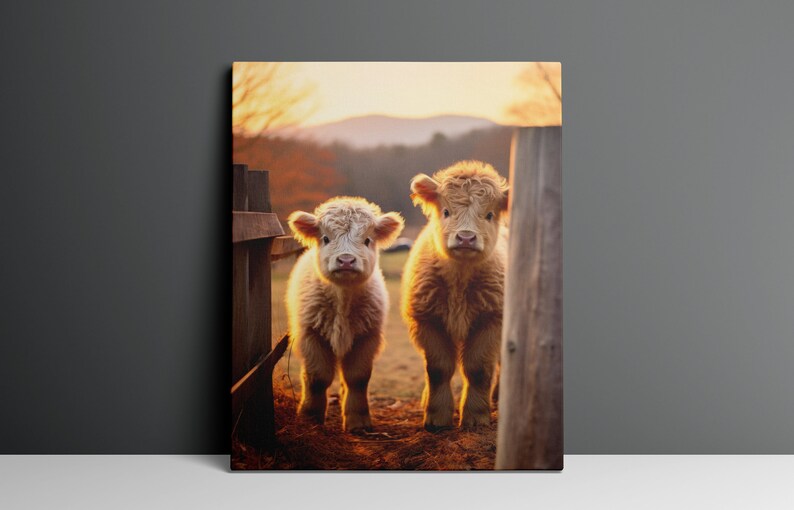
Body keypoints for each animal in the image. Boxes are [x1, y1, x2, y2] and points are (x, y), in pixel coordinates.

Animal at [286, 196, 404, 432]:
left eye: (367, 239)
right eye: (325, 238)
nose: (347, 260)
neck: (343, 300)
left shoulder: (366, 337)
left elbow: (357, 378)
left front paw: (358, 420)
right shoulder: (311, 335)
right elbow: (317, 378)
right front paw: (310, 418)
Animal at [401, 161, 509, 431]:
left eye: (489, 214)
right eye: (446, 211)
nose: (466, 237)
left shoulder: (491, 321)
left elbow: (478, 369)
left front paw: (476, 415)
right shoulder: (427, 321)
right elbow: (438, 369)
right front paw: (437, 416)